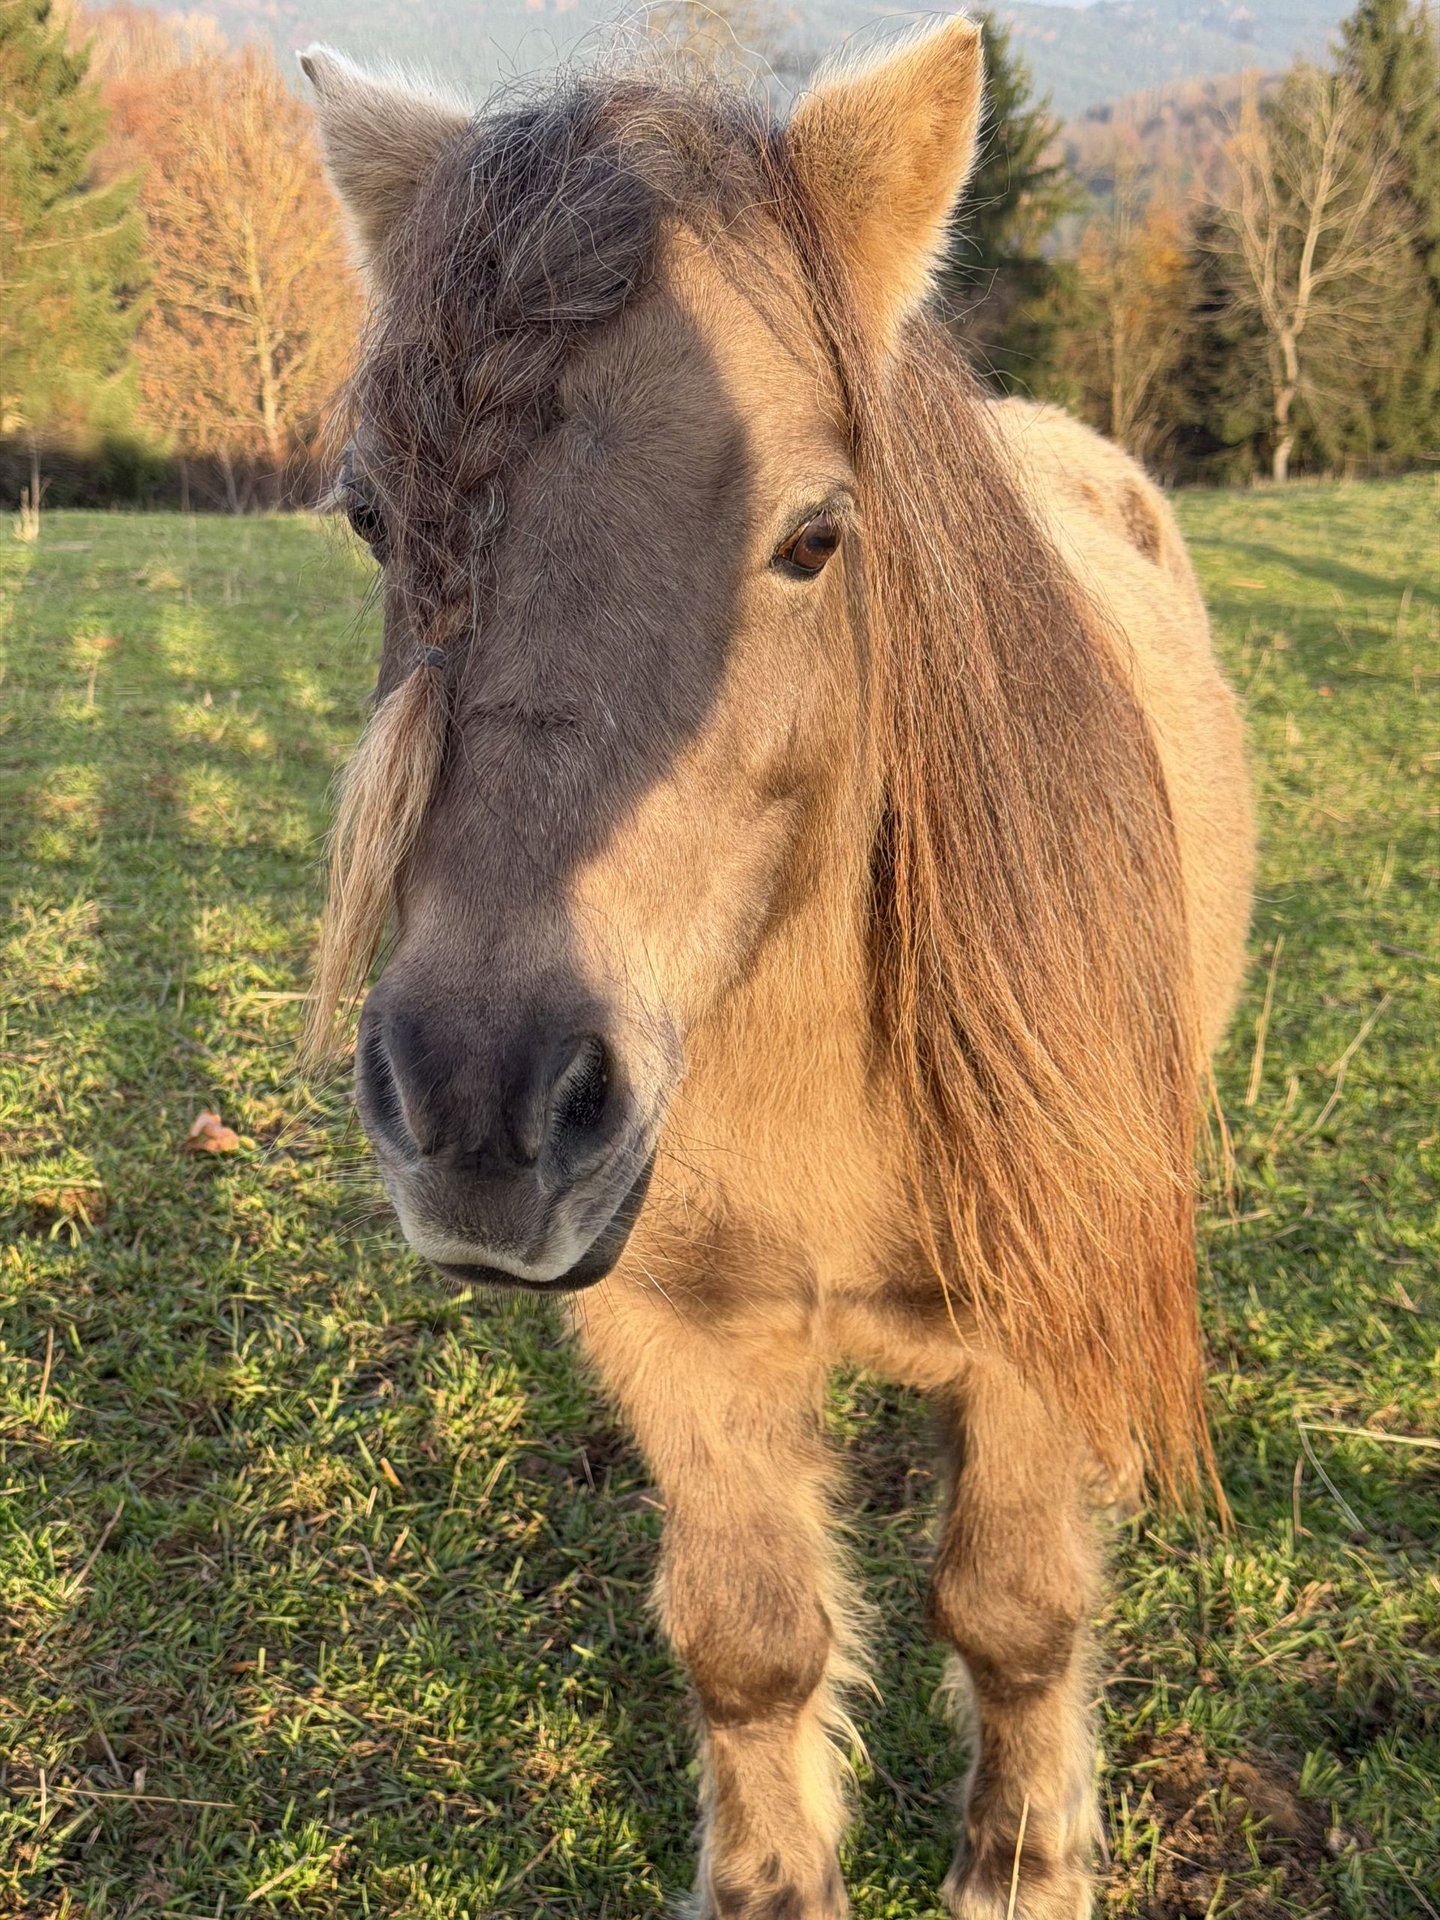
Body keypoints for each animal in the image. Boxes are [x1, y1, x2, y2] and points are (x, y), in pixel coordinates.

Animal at [298, 20, 1254, 1916]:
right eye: (375, 519)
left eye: (816, 534)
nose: (480, 1107)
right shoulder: (677, 1335)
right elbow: (750, 1644)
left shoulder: (1033, 1338)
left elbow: (1015, 1611)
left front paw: (1026, 1859)